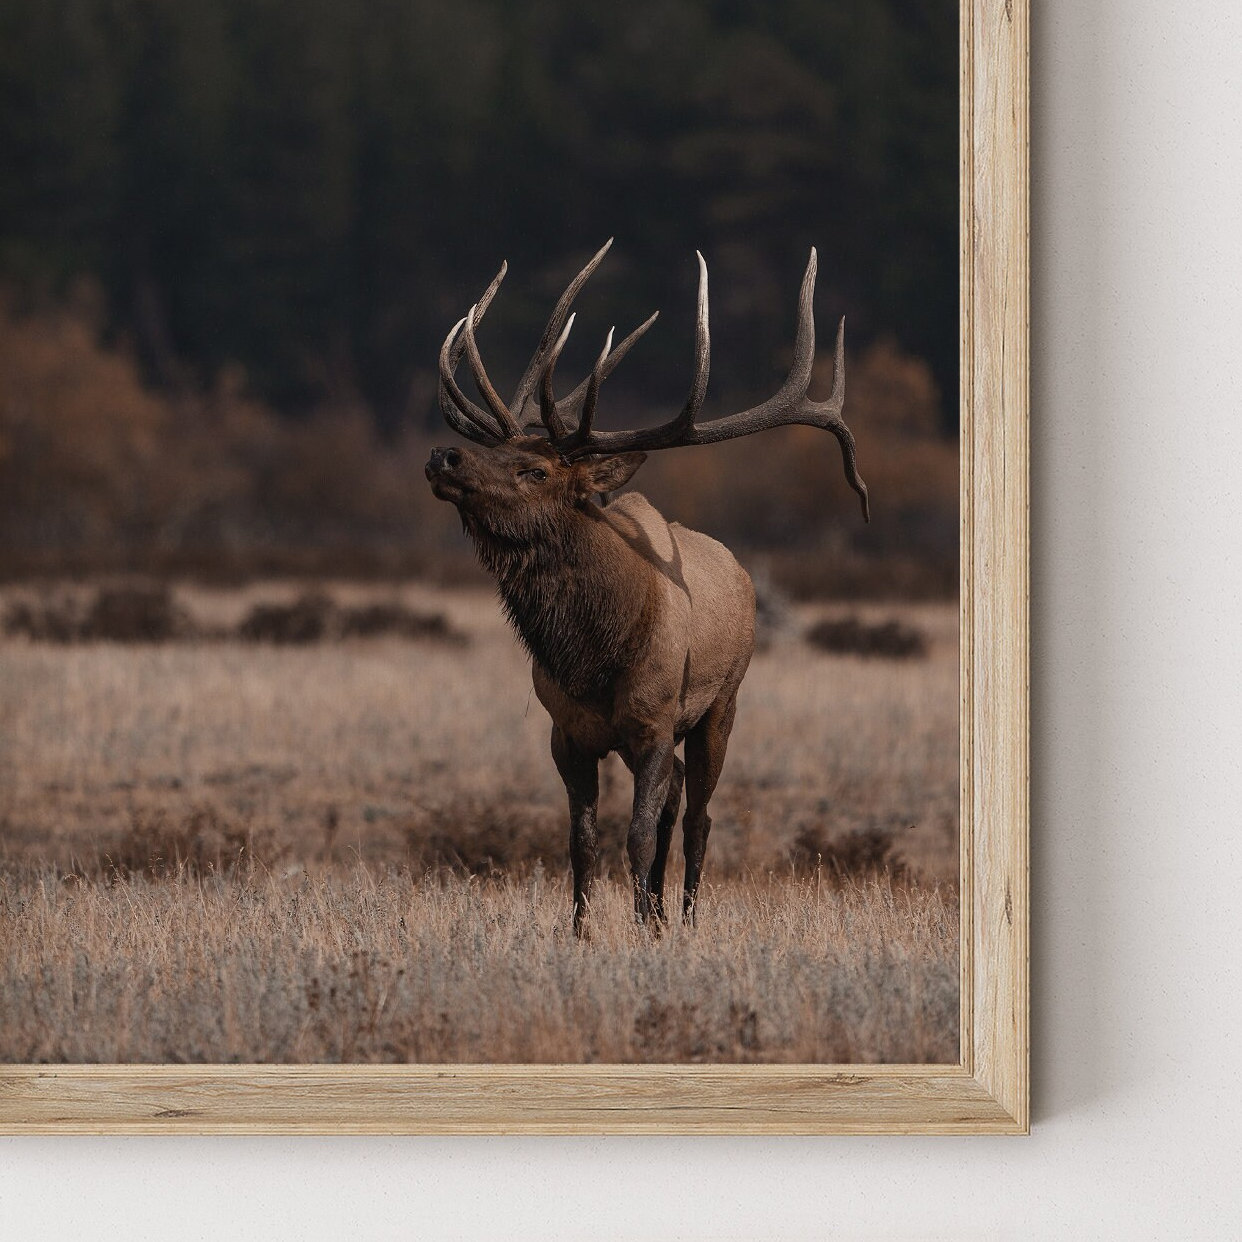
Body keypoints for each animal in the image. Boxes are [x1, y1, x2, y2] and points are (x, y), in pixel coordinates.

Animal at [425, 240, 869, 936]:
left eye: (537, 469)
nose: (444, 456)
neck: (593, 654)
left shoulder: (656, 723)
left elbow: (637, 833)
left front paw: (640, 930)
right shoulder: (568, 731)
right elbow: (582, 839)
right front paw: (583, 934)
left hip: (723, 703)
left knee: (698, 815)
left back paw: (681, 919)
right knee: (678, 798)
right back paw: (660, 914)